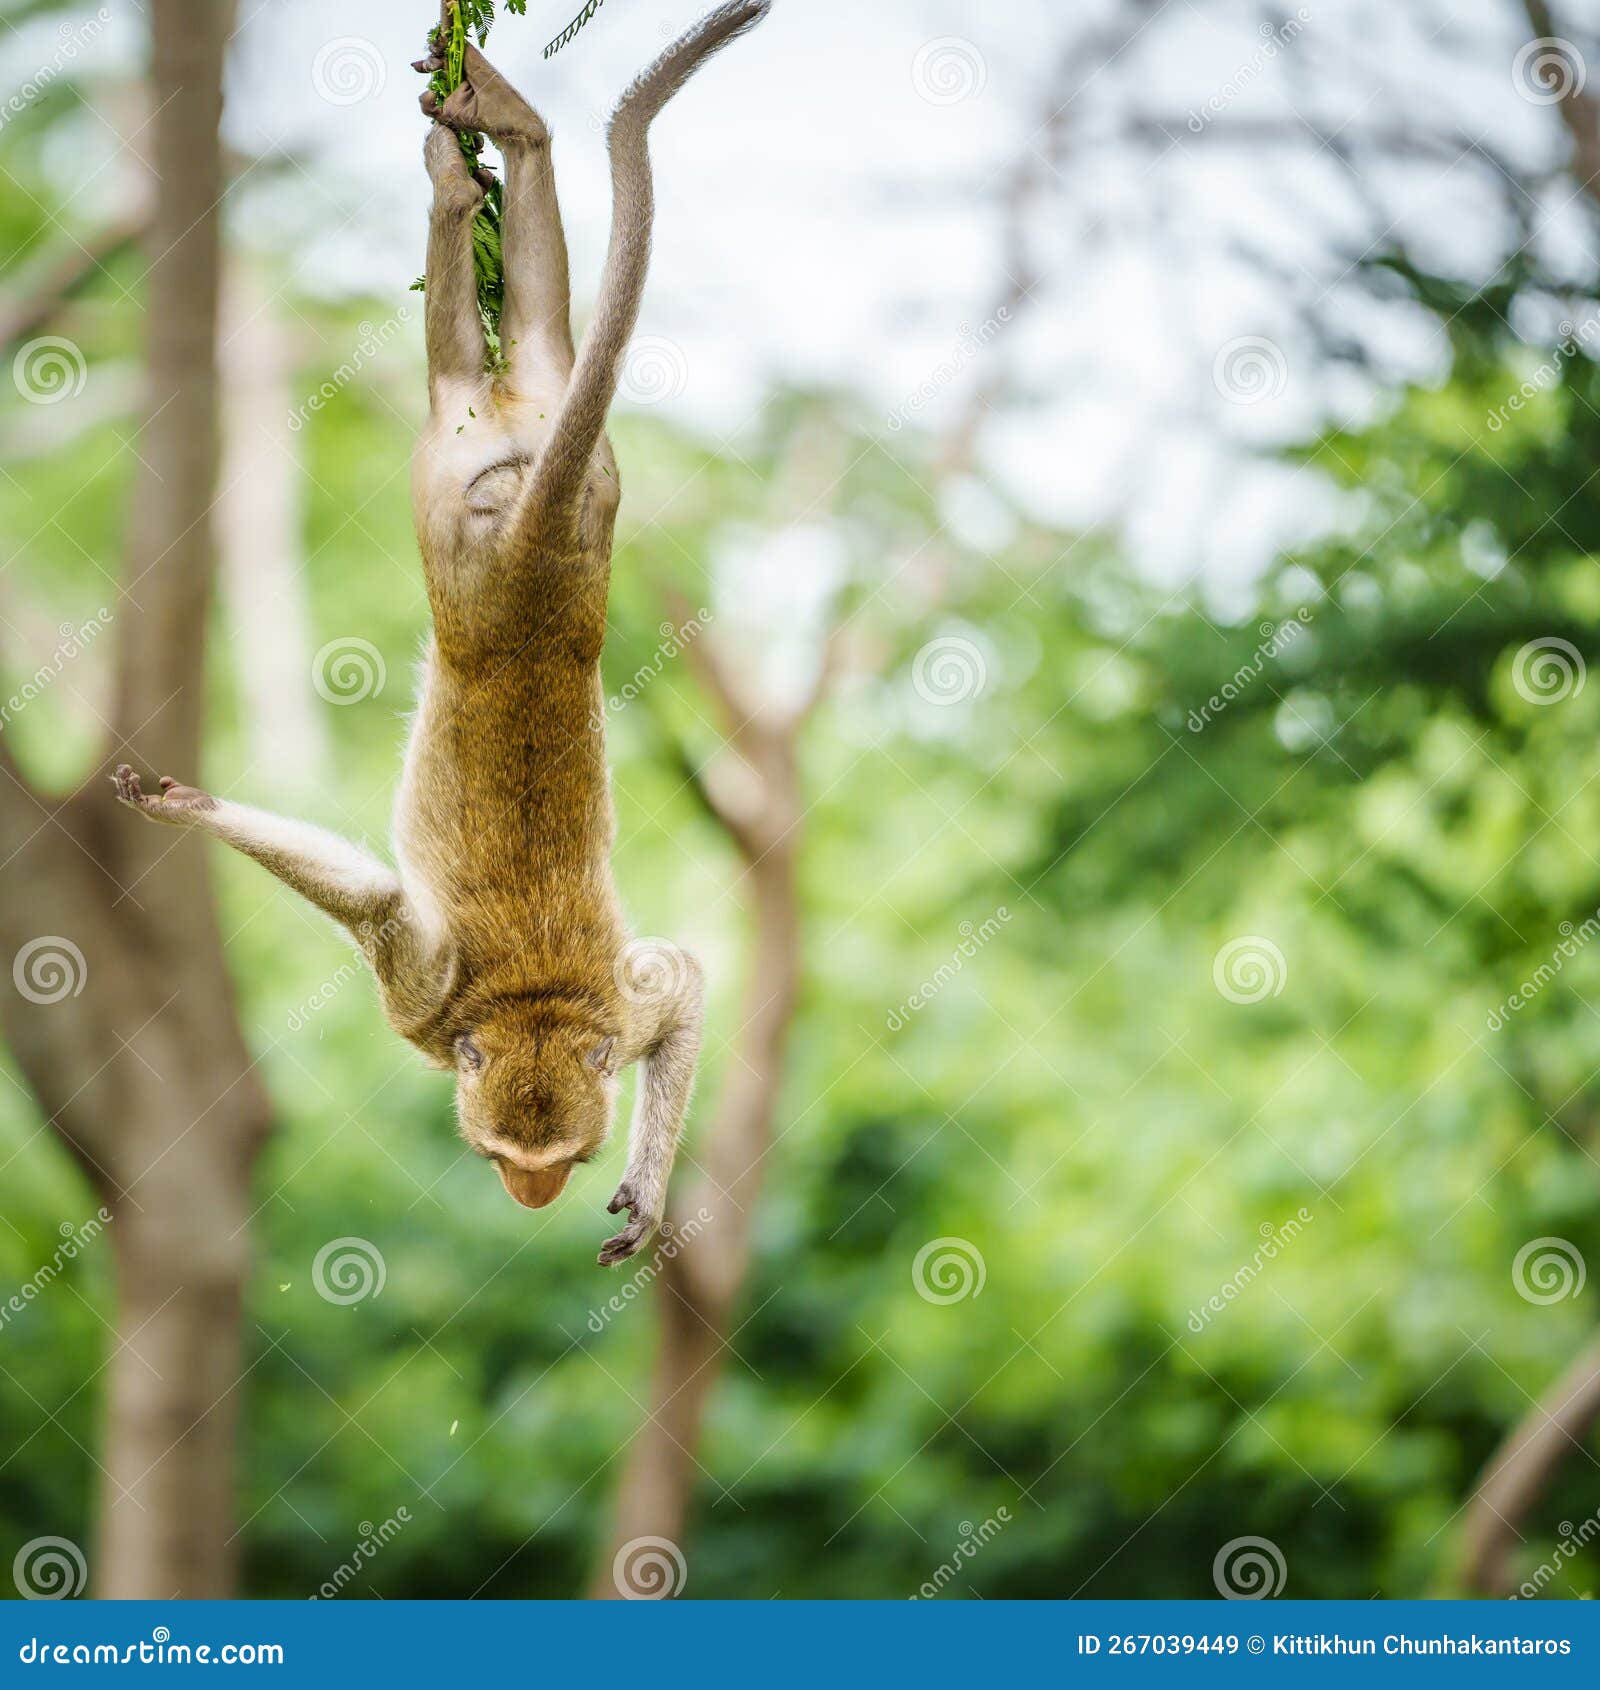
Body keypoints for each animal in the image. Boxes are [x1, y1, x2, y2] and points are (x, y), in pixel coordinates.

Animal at [113, 0, 773, 1265]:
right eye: (505, 1157)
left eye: (556, 1162)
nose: (532, 1199)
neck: (526, 1014)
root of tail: (537, 550)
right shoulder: (427, 1000)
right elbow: (390, 909)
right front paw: (189, 808)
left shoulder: (557, 1010)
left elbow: (678, 978)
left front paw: (649, 1188)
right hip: (469, 483)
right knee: (485, 353)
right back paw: (477, 174)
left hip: (522, 475)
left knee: (507, 343)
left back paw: (497, 152)